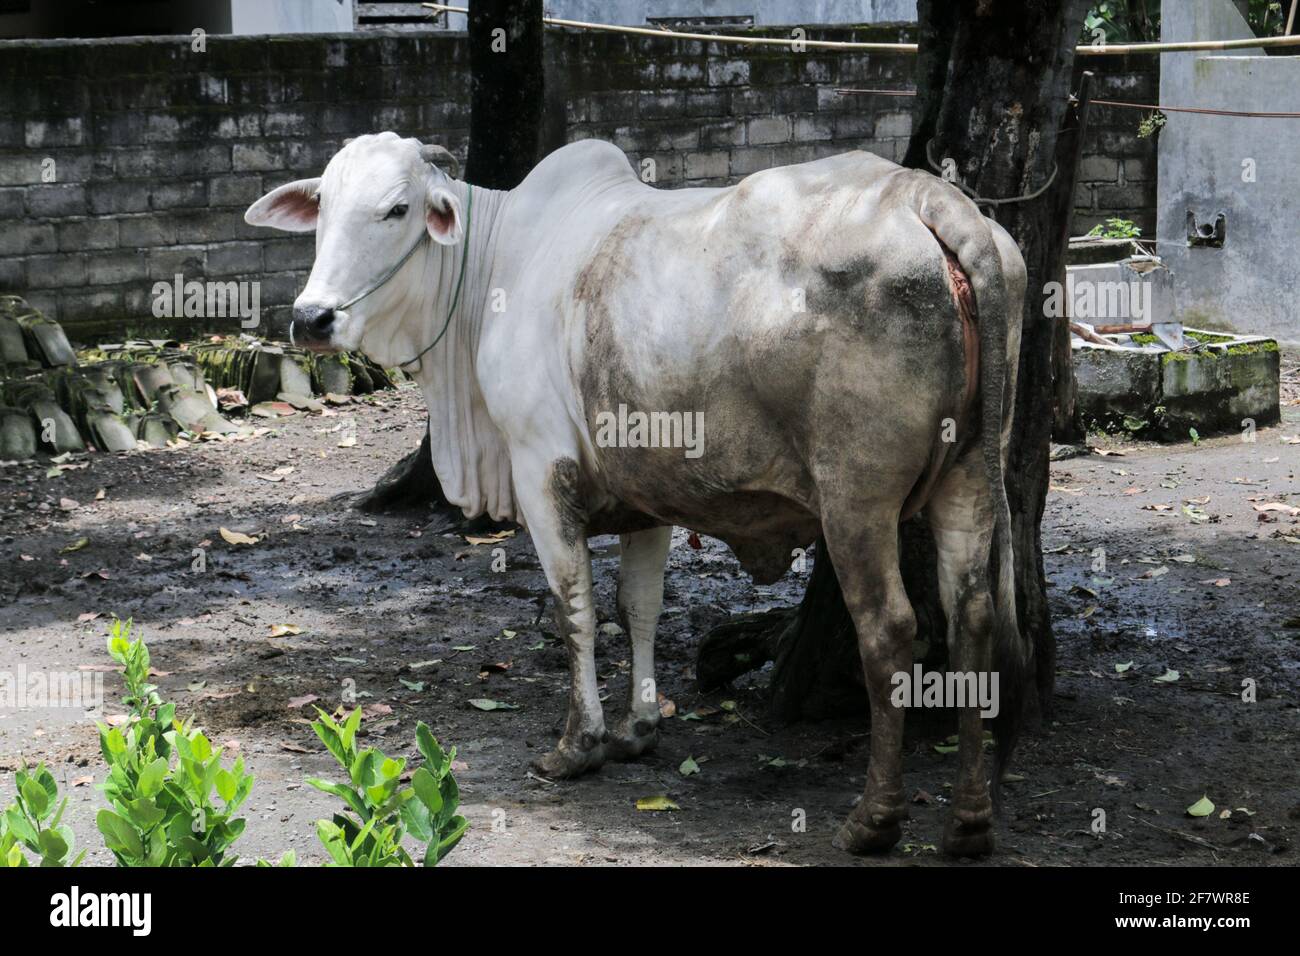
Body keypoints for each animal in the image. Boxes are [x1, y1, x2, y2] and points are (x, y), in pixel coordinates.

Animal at [246, 132, 1028, 857]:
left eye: (397, 209)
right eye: (323, 207)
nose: (311, 318)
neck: (498, 263)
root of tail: (927, 198)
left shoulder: (541, 468)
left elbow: (577, 610)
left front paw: (579, 743)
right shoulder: (647, 489)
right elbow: (639, 607)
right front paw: (640, 728)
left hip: (854, 500)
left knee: (890, 630)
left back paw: (873, 819)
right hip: (969, 479)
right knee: (973, 619)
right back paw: (969, 822)